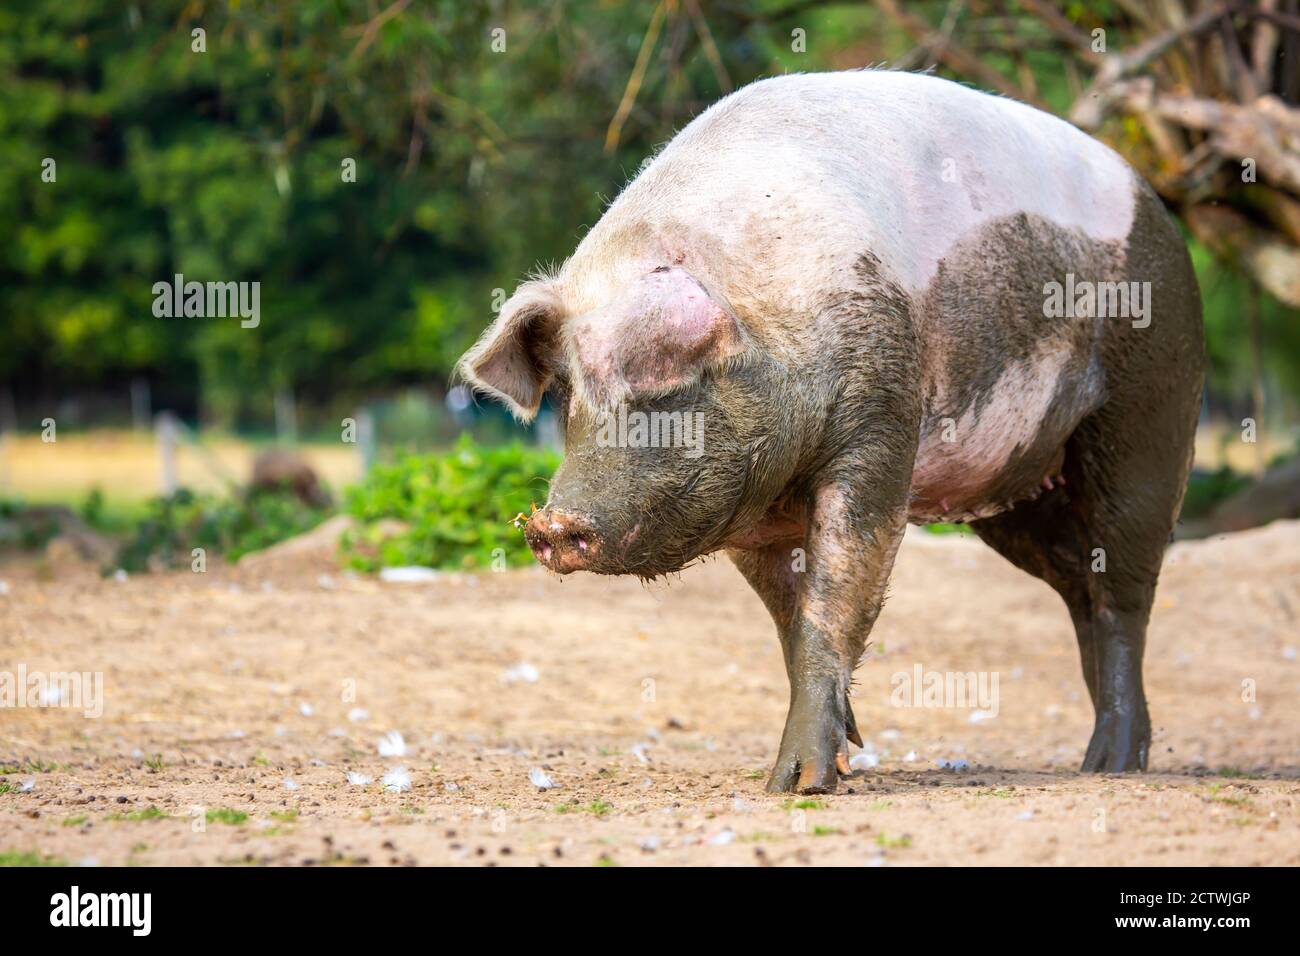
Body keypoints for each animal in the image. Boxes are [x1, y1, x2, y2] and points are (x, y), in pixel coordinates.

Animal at [459, 70, 1204, 793]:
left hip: (1152, 400)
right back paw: (1096, 757)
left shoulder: (881, 421)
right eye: (566, 391)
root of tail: (1155, 202)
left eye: (664, 376)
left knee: (1124, 587)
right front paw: (846, 750)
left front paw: (799, 785)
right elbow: (792, 626)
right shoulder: (753, 519)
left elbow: (836, 597)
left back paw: (1113, 763)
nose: (552, 523)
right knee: (1079, 586)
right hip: (1018, 497)